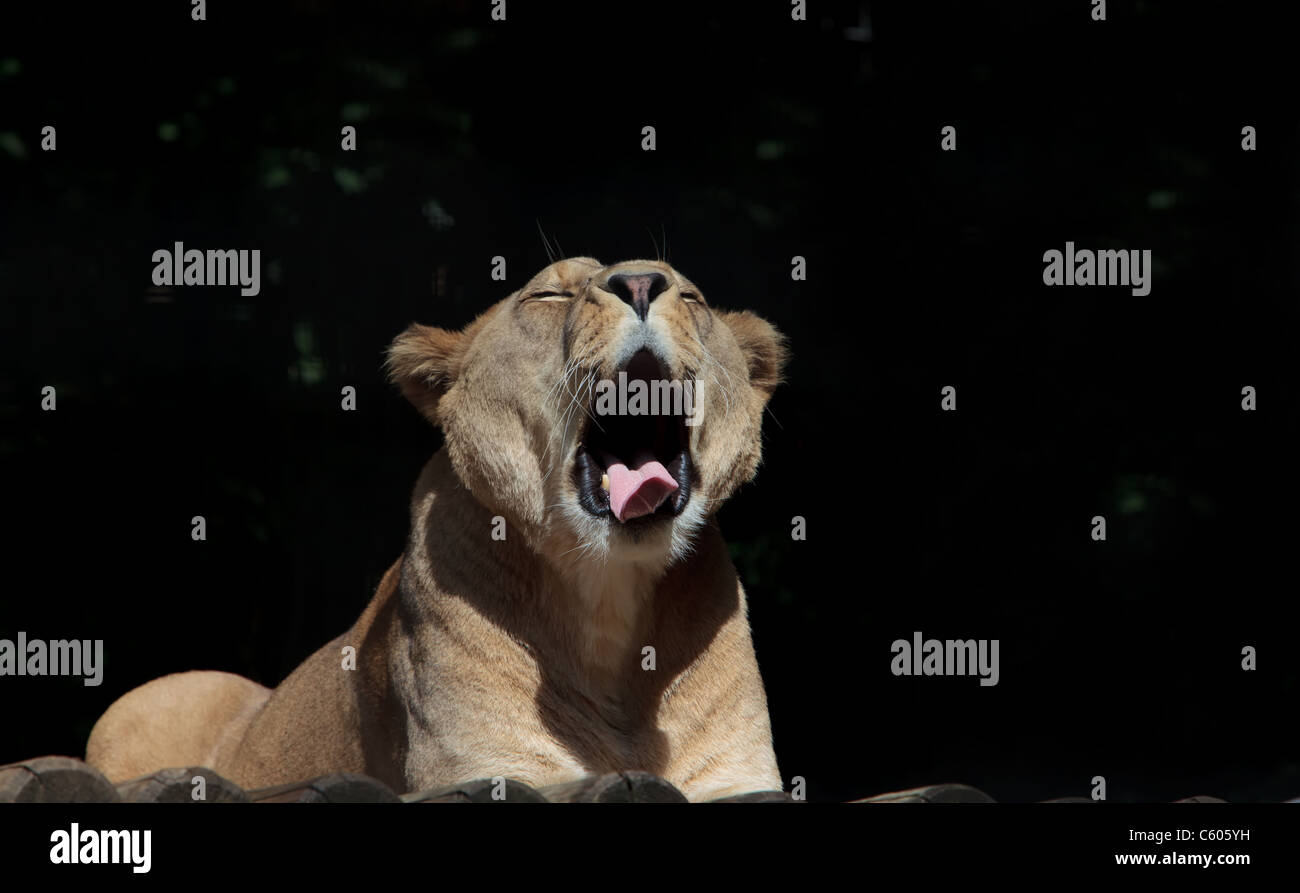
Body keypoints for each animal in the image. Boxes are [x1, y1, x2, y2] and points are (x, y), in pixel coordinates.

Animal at [86, 257, 788, 801]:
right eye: (551, 295)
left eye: (691, 296)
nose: (641, 282)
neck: (608, 591)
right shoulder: (488, 768)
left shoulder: (740, 777)